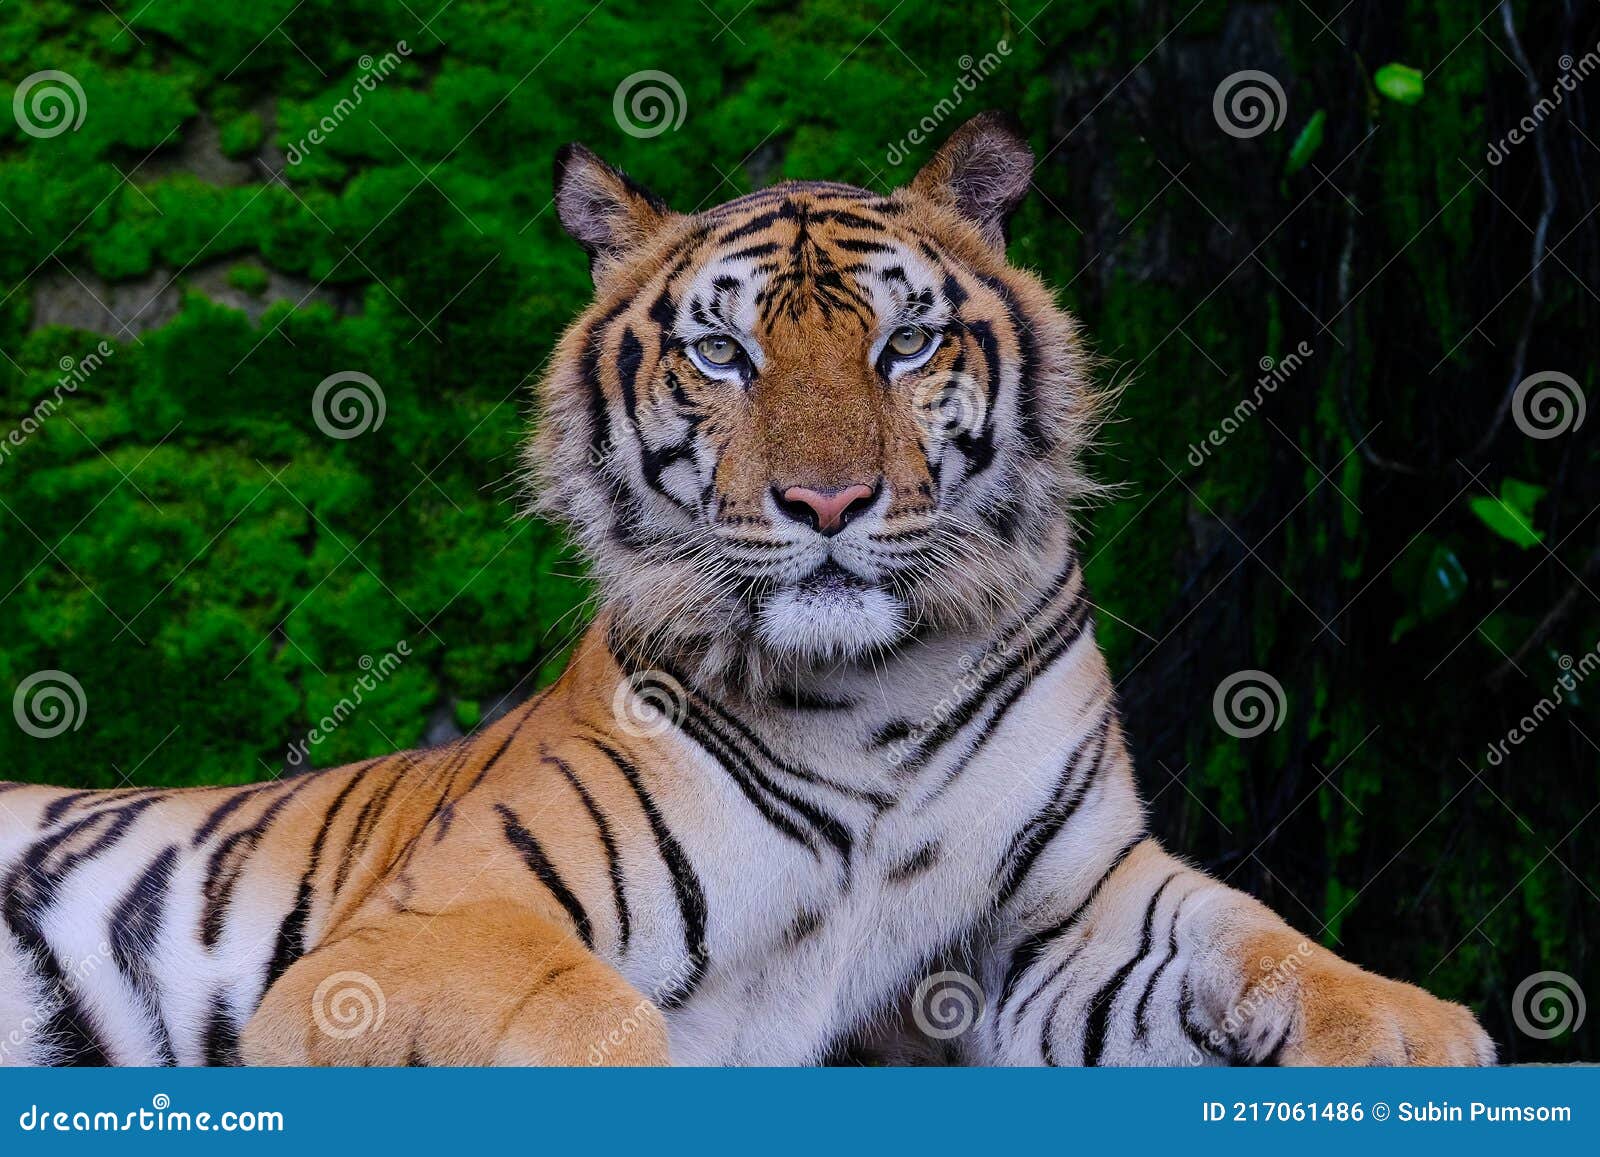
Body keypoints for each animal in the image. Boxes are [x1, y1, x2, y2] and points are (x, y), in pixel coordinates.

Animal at [0, 112, 1495, 1068]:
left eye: (905, 344)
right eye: (722, 353)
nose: (827, 504)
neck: (873, 693)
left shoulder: (1064, 905)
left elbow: (1249, 928)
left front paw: (1412, 1025)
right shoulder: (435, 930)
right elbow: (594, 1020)